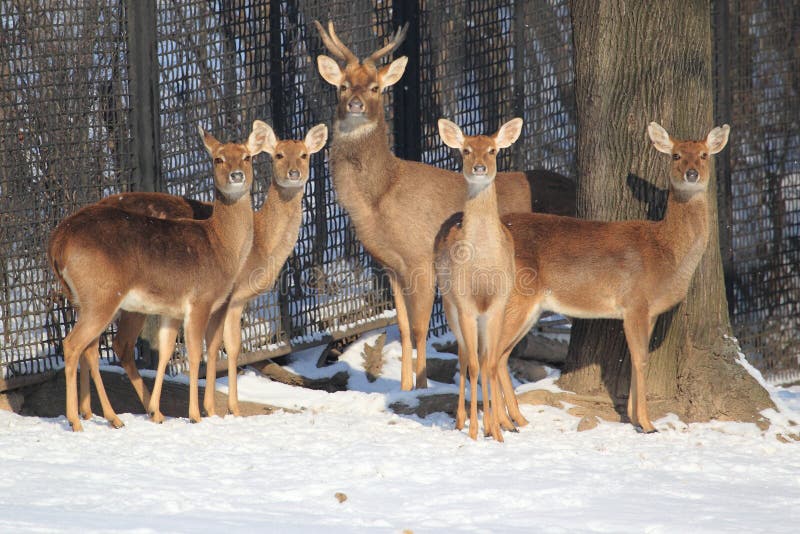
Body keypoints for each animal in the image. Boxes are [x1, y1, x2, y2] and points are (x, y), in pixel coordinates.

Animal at [48, 121, 270, 431]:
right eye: (218, 158)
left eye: (247, 157)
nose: (236, 175)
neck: (219, 245)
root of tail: (58, 242)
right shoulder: (200, 300)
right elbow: (196, 354)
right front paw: (196, 414)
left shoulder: (170, 310)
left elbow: (166, 352)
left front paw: (156, 411)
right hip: (102, 296)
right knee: (73, 345)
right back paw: (77, 421)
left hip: (83, 299)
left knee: (89, 348)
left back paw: (111, 418)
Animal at [86, 124, 328, 421]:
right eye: (279, 155)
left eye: (304, 154)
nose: (294, 173)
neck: (260, 244)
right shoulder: (224, 296)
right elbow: (217, 348)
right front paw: (216, 409)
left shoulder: (237, 300)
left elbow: (232, 347)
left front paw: (229, 408)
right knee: (118, 343)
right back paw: (142, 411)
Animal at [314, 20, 572, 391]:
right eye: (343, 86)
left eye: (376, 87)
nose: (356, 104)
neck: (380, 198)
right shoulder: (390, 266)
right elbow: (403, 328)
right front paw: (405, 388)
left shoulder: (421, 258)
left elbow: (421, 328)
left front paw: (420, 387)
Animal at [434, 117, 522, 441]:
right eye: (466, 150)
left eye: (494, 150)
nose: (480, 167)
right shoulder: (465, 304)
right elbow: (473, 364)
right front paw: (474, 430)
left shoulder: (497, 304)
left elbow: (490, 364)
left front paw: (496, 429)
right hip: (448, 305)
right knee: (463, 357)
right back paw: (461, 420)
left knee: (486, 361)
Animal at [487, 122, 731, 435]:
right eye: (676, 155)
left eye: (703, 155)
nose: (692, 174)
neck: (666, 251)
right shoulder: (635, 302)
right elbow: (640, 359)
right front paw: (647, 424)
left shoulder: (649, 311)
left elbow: (635, 358)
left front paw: (634, 417)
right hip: (516, 296)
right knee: (491, 355)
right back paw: (501, 425)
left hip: (529, 306)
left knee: (501, 355)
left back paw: (516, 420)